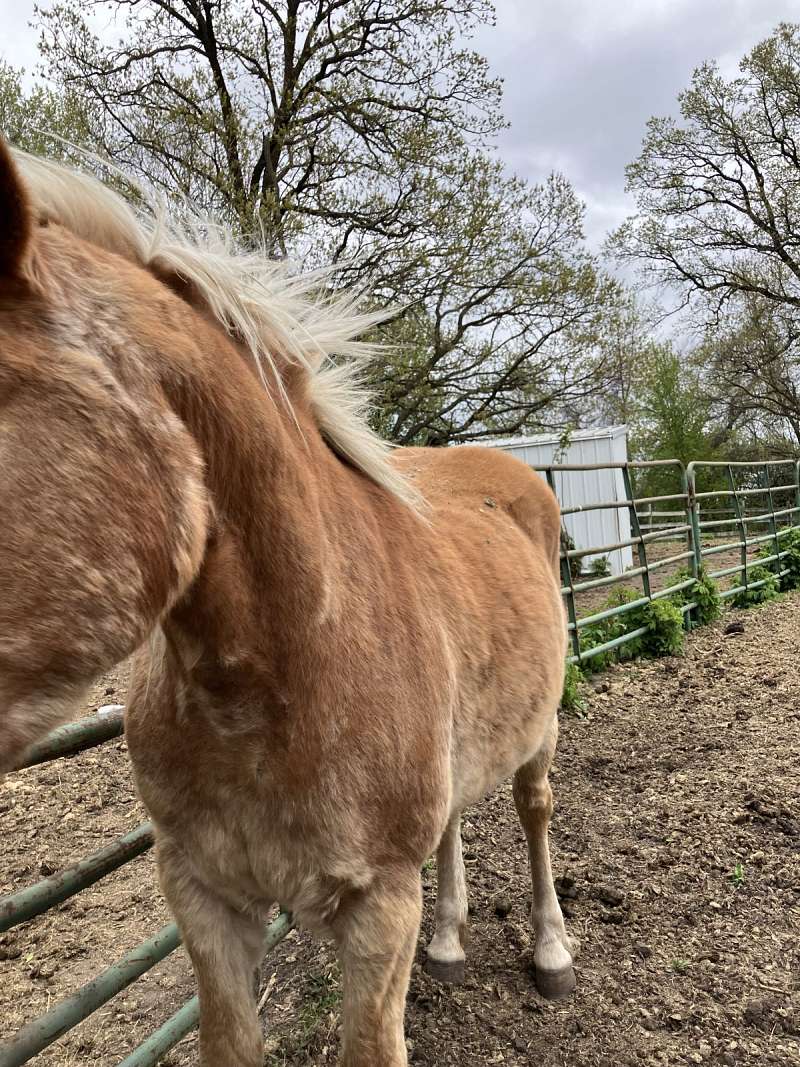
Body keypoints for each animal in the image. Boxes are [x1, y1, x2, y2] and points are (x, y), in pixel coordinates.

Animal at [0, 138, 576, 1066]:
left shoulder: (379, 909)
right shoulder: (202, 898)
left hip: (541, 729)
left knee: (534, 809)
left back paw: (553, 950)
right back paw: (451, 940)